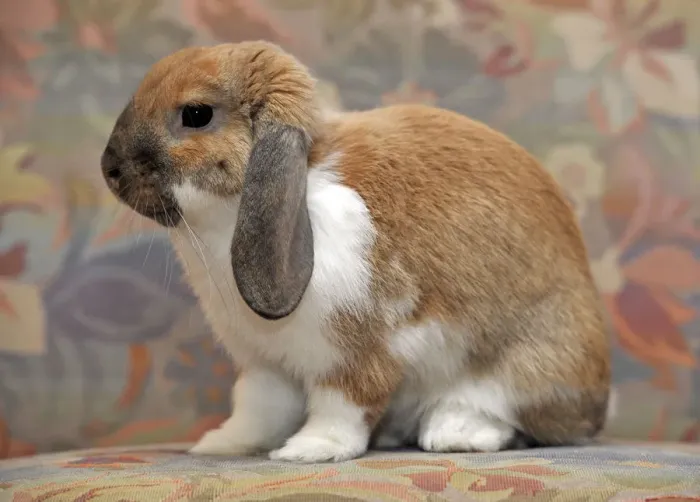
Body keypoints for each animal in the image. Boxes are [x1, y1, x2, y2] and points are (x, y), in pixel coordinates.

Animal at [101, 41, 611, 463]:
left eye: (196, 114)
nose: (109, 167)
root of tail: (596, 400)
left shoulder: (353, 352)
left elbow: (342, 406)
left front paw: (308, 450)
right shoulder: (265, 364)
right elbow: (258, 409)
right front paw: (222, 444)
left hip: (522, 369)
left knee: (508, 414)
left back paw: (454, 433)